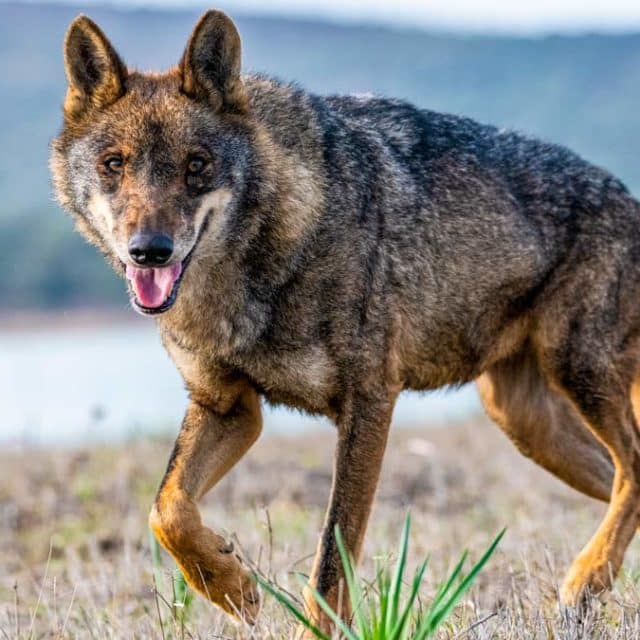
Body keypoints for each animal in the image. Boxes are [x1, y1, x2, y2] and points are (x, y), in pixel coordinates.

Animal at [51, 8, 640, 632]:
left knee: (634, 469)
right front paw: (231, 588)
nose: (150, 251)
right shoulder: (230, 408)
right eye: (115, 165)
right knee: (621, 482)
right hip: (527, 421)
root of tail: (631, 200)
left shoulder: (369, 403)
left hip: (576, 376)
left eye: (197, 166)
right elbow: (167, 510)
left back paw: (585, 578)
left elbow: (331, 562)